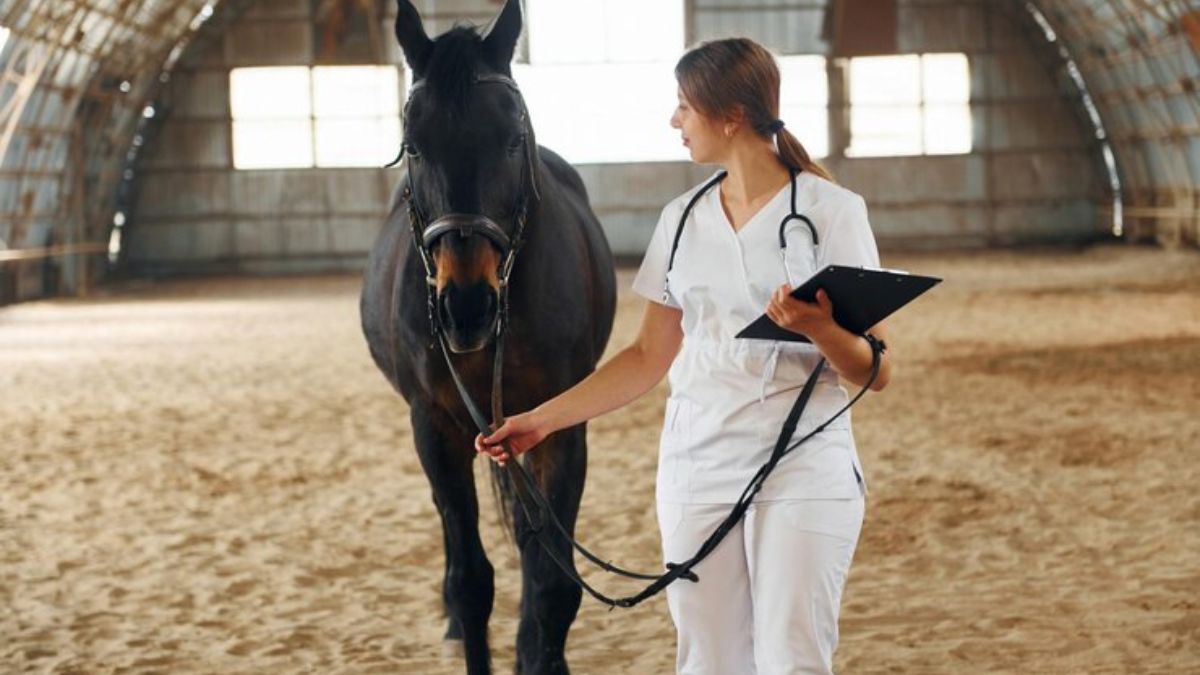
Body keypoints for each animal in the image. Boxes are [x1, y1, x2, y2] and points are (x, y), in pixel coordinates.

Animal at [359, 1, 616, 673]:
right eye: (414, 146)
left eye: (511, 139)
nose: (466, 306)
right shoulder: (434, 427)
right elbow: (470, 581)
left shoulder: (560, 425)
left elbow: (552, 580)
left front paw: (540, 654)